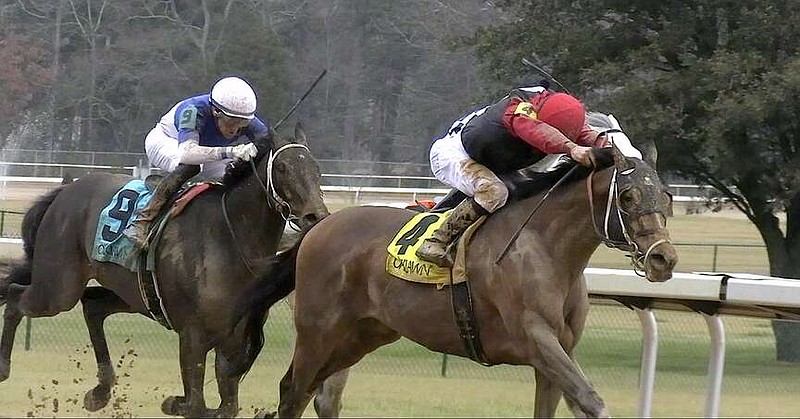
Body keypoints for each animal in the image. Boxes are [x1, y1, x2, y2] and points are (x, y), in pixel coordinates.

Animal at [0, 123, 330, 418]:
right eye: (283, 168)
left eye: (317, 169)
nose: (316, 216)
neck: (231, 239)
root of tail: (66, 190)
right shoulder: (193, 338)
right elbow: (196, 406)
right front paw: (178, 402)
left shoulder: (231, 344)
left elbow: (226, 407)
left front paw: (175, 402)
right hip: (58, 288)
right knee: (17, 297)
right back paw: (4, 367)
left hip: (133, 294)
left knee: (92, 305)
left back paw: (101, 391)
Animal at [262, 137, 679, 417]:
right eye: (627, 195)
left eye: (666, 195)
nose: (664, 259)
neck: (546, 248)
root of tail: (321, 225)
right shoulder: (535, 338)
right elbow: (591, 401)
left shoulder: (558, 354)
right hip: (318, 331)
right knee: (293, 390)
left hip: (361, 335)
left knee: (319, 394)